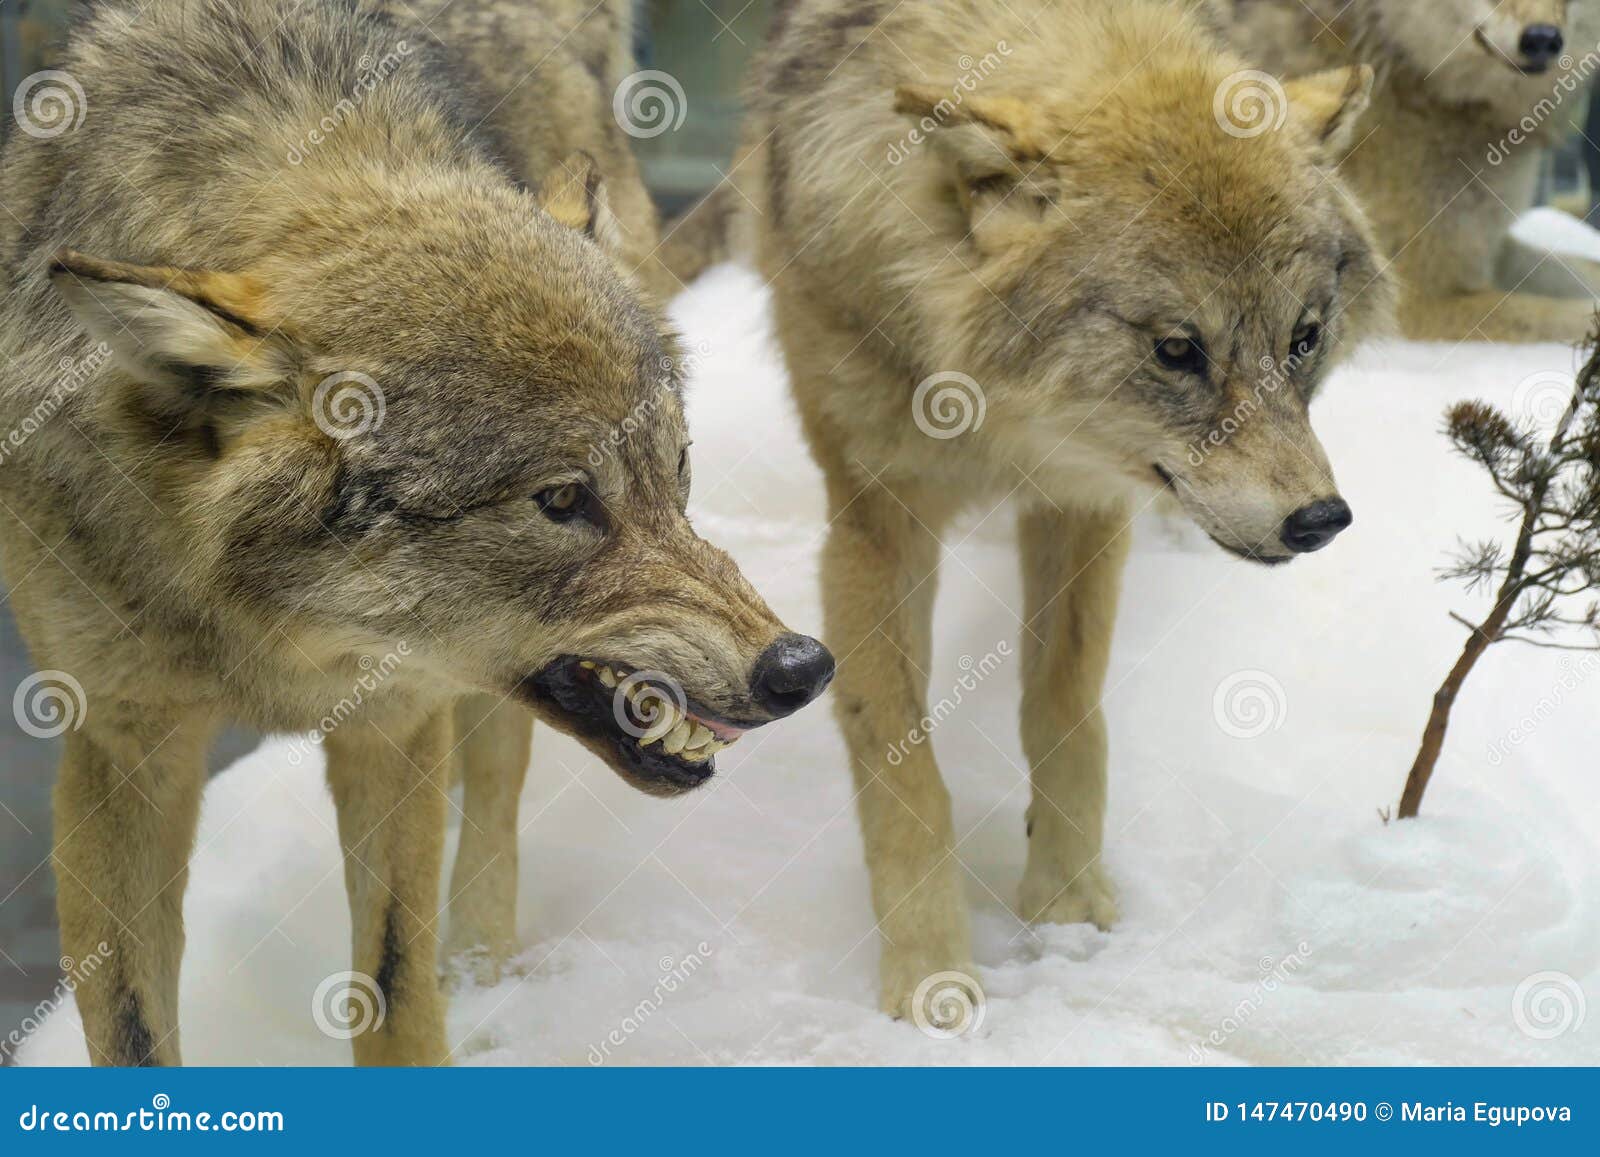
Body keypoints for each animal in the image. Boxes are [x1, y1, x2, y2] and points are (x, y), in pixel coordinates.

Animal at [0, 0, 833, 1066]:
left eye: (675, 470)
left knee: (491, 818)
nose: (801, 666)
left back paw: (486, 993)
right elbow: (134, 1028)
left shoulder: (393, 714)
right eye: (562, 500)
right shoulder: (122, 743)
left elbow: (396, 986)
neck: (268, 625)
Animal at [723, 0, 1393, 1018]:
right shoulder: (875, 518)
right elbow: (900, 759)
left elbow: (1066, 711)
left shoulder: (1083, 499)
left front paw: (1069, 908)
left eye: (1303, 339)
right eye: (1176, 349)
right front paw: (930, 979)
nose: (1319, 520)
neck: (990, 413)